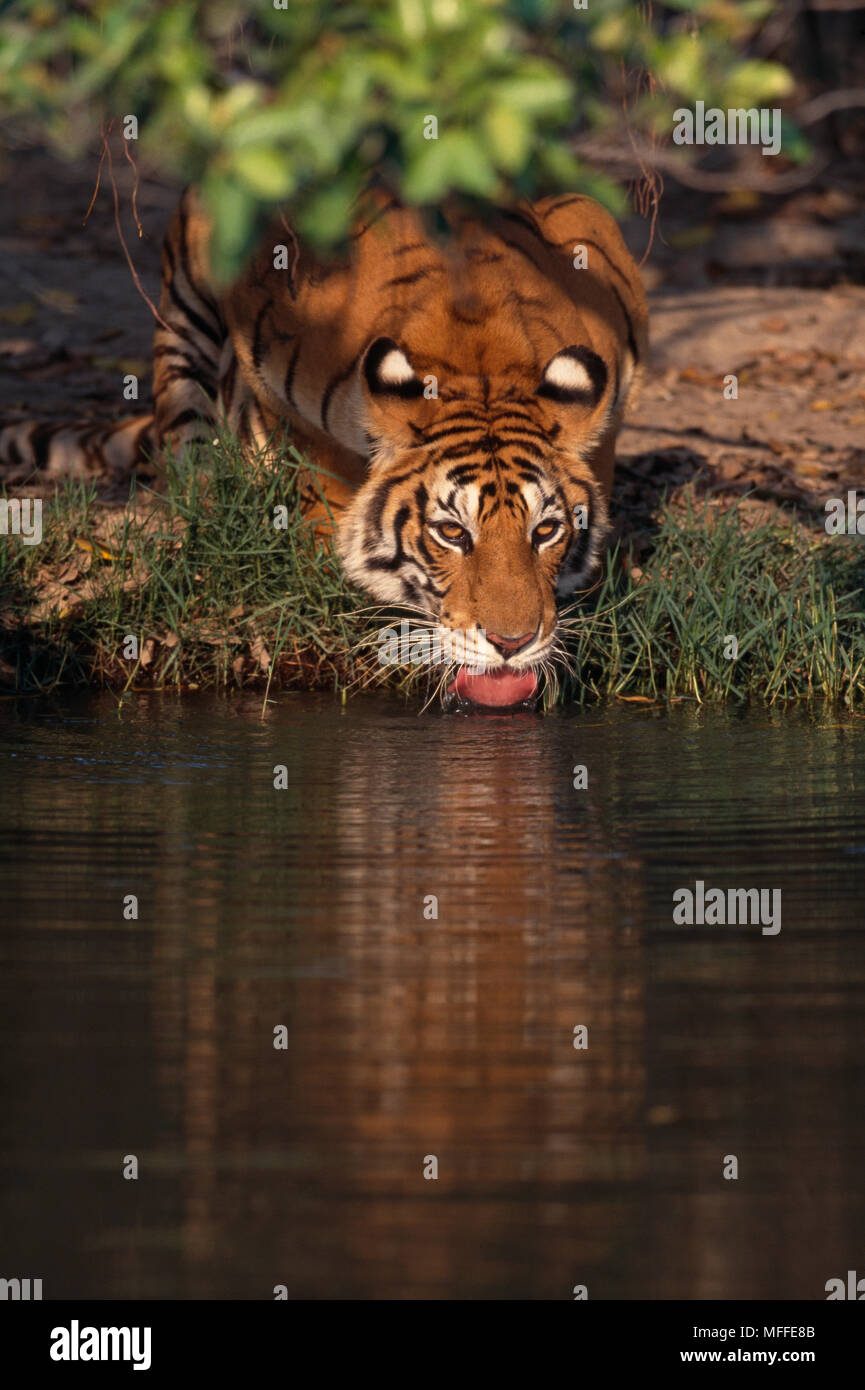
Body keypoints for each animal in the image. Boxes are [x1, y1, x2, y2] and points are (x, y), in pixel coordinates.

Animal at [0, 187, 648, 709]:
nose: (512, 644)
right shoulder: (275, 370)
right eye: (452, 533)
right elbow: (320, 491)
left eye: (546, 530)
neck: (481, 365)